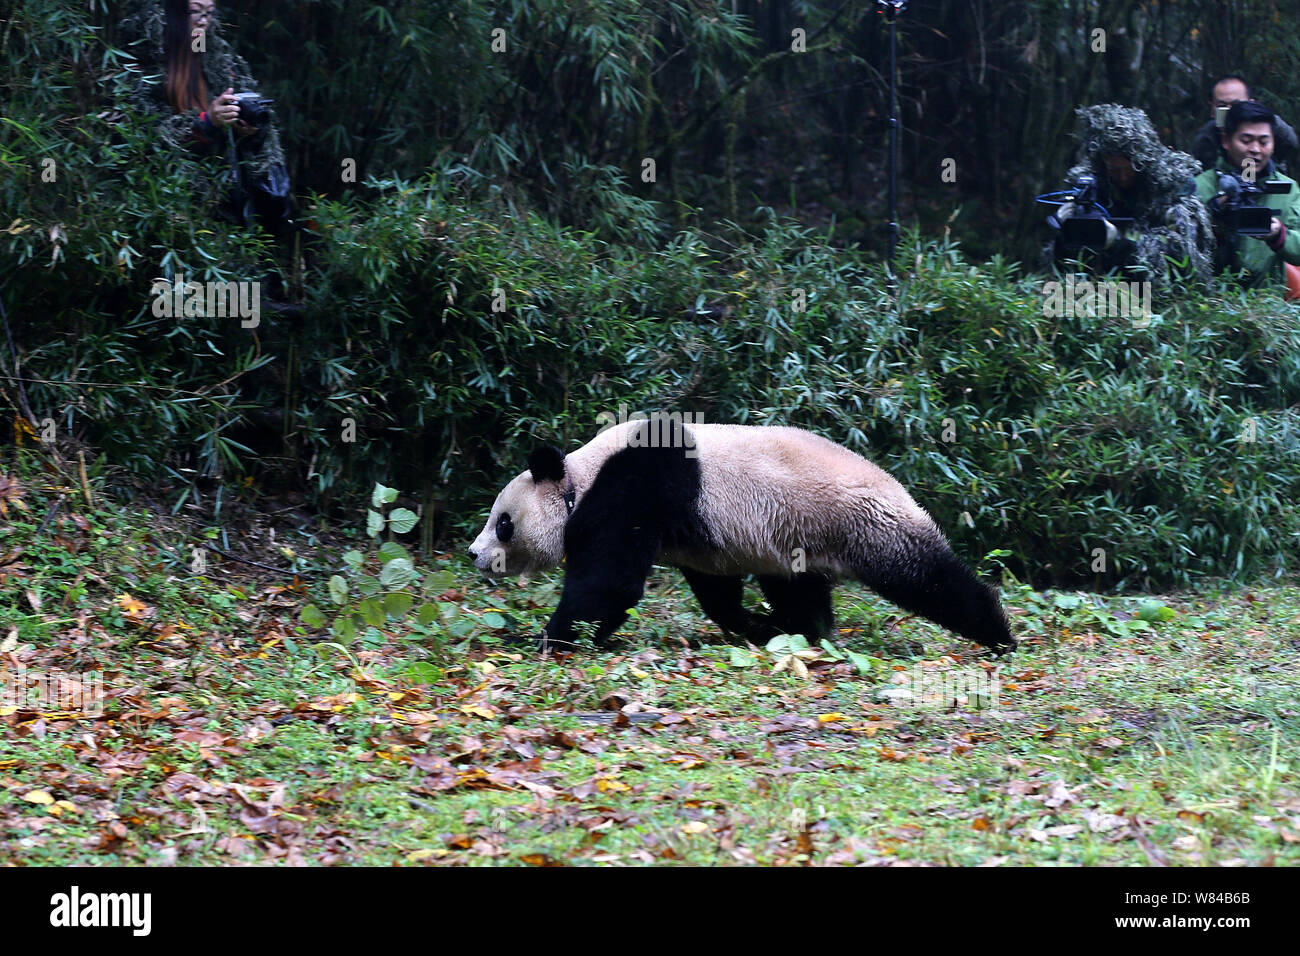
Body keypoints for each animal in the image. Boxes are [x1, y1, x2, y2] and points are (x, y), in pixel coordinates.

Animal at [469, 417, 1015, 654]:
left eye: (503, 522)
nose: (475, 554)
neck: (580, 479)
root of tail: (897, 485)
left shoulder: (637, 486)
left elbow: (609, 583)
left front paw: (547, 639)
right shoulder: (698, 535)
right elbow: (716, 591)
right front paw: (754, 626)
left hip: (860, 520)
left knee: (925, 576)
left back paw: (998, 634)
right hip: (799, 533)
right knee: (800, 587)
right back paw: (801, 630)